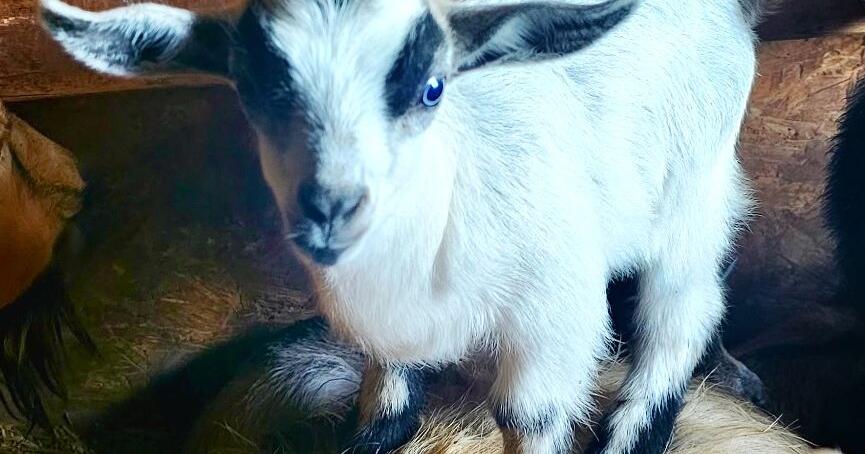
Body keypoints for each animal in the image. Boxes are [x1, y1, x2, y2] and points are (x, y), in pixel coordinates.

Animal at [41, 0, 761, 452]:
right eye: (251, 87)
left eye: (430, 88)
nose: (330, 206)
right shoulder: (383, 325)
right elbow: (383, 391)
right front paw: (370, 439)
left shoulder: (551, 317)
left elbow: (527, 415)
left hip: (692, 190)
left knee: (682, 309)